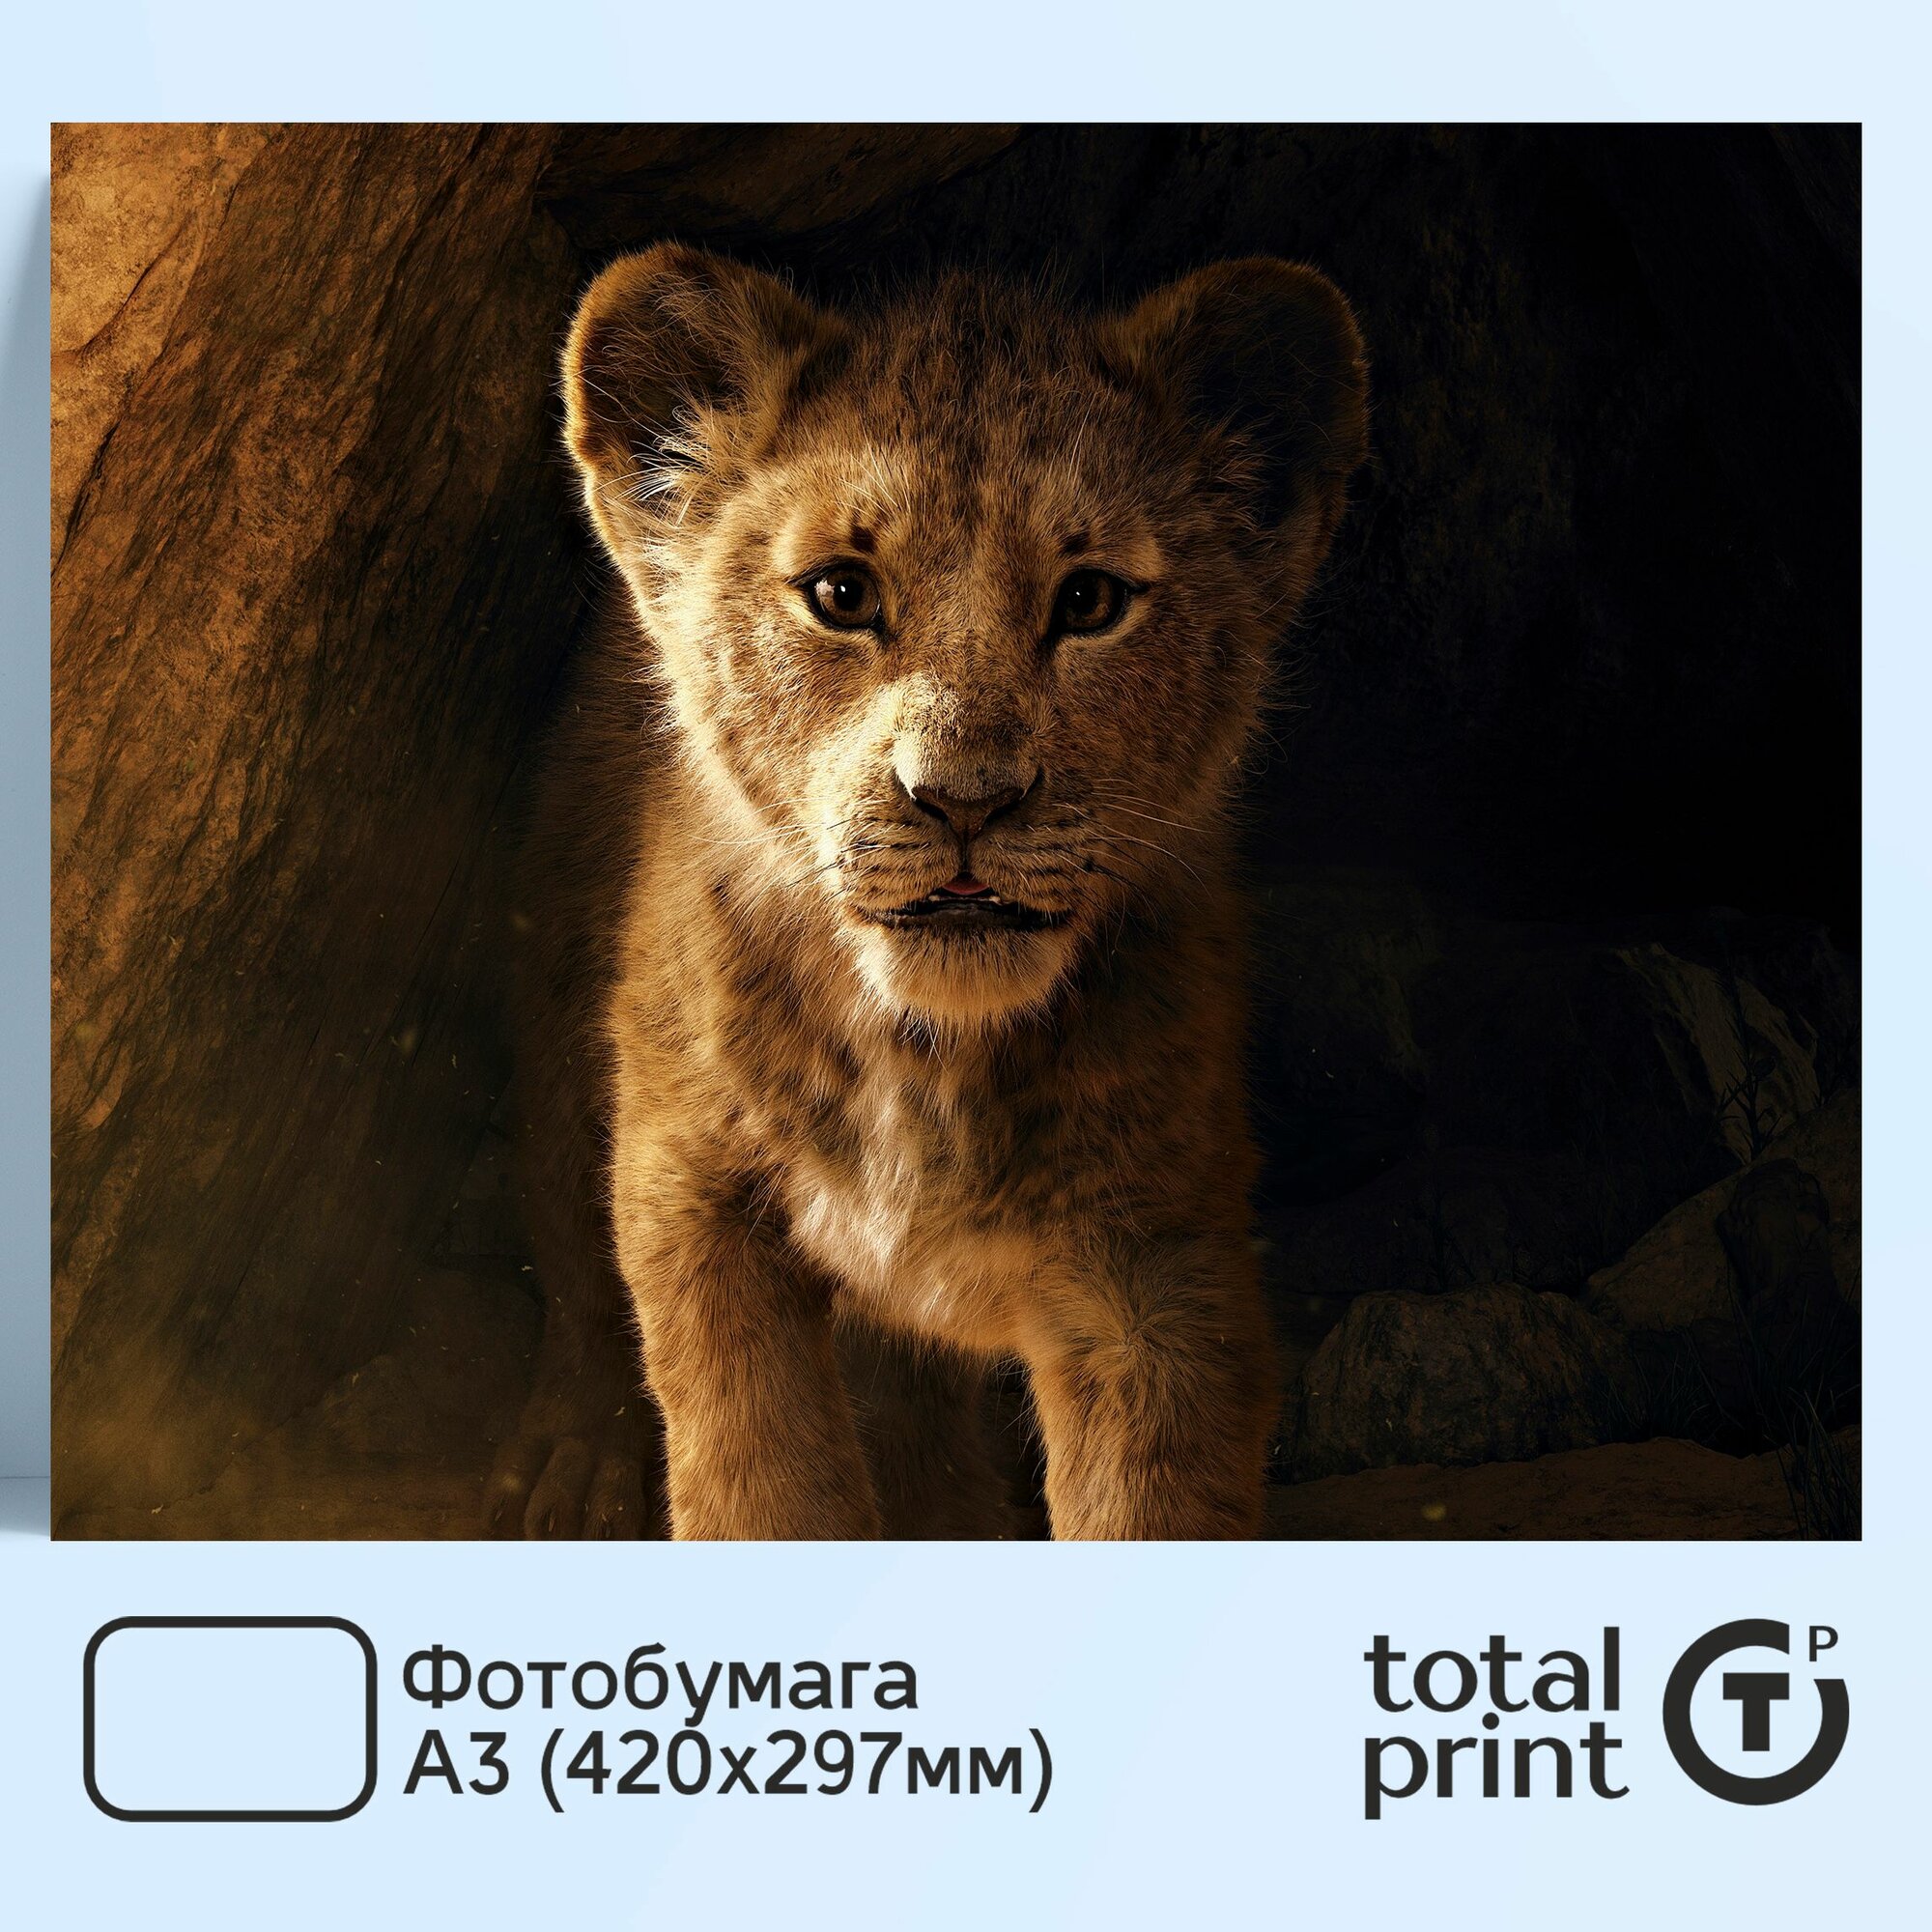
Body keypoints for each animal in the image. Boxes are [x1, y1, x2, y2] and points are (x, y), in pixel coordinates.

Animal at [483, 244, 1368, 1540]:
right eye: (841, 595)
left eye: (1089, 601)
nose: (962, 799)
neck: (925, 1059)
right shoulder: (691, 1187)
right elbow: (759, 1480)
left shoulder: (1159, 1265)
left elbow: (1147, 1506)